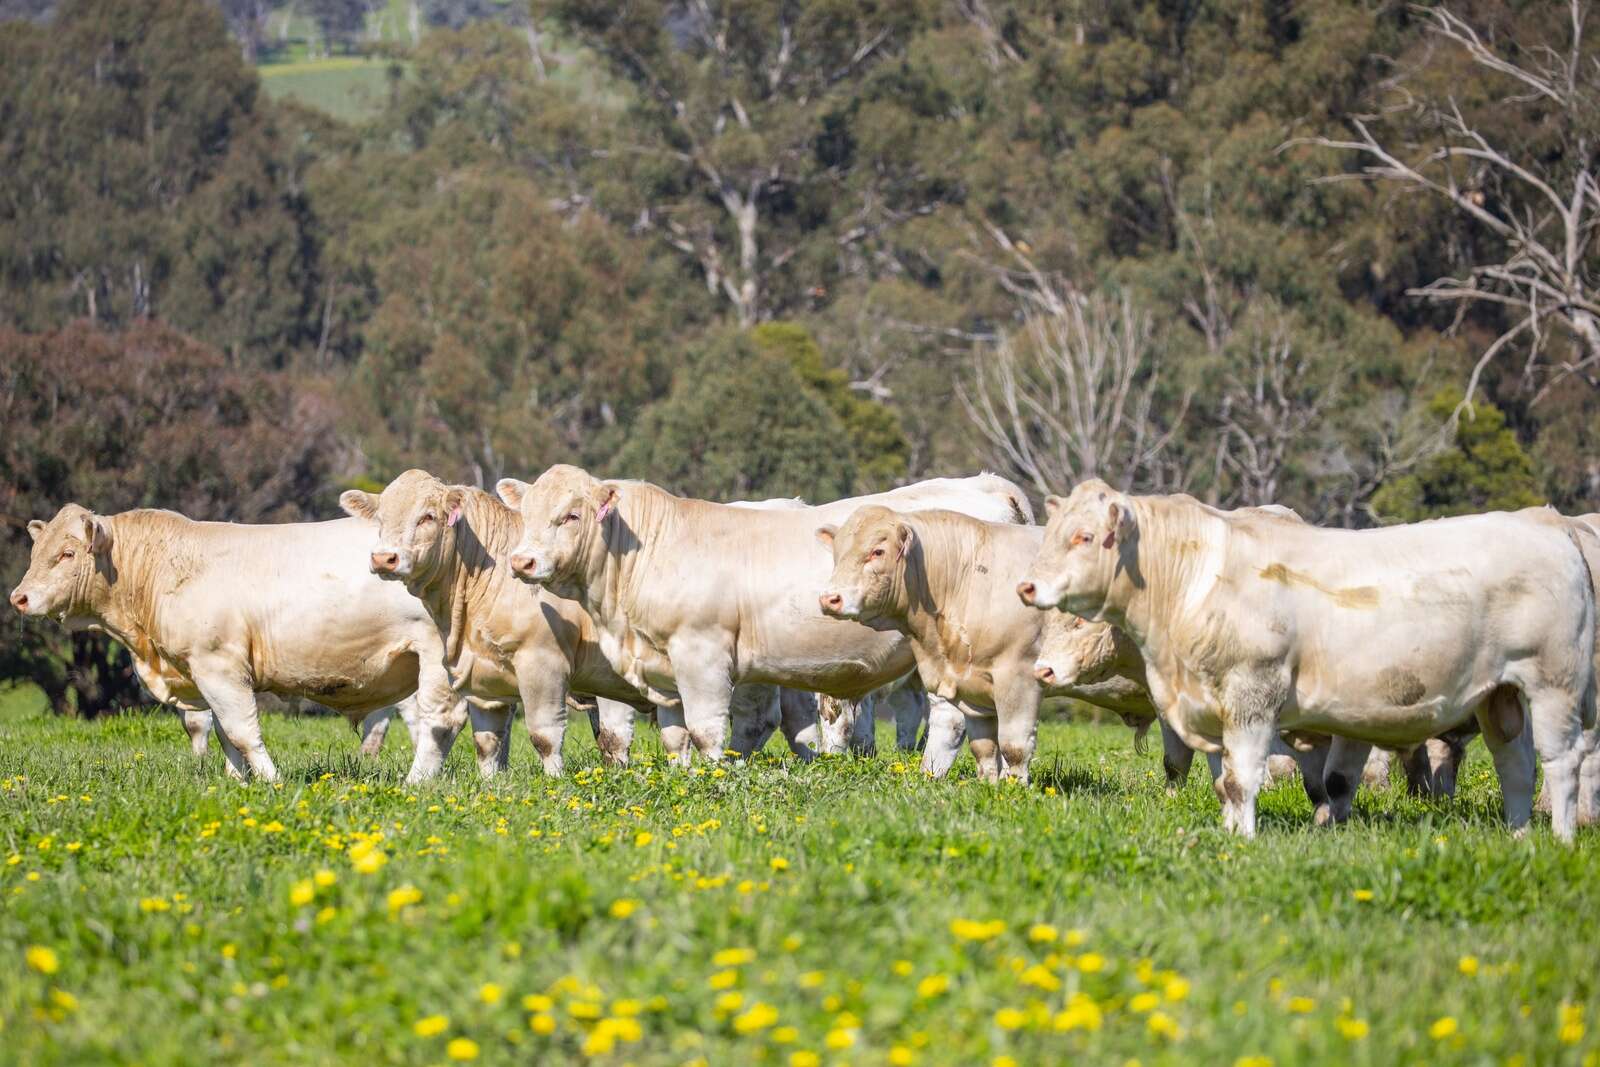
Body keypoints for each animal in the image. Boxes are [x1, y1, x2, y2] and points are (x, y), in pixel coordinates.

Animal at [8, 504, 466, 784]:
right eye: (37, 549)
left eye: (67, 554)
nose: (19, 597)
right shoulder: (206, 672)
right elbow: (224, 734)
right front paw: (236, 782)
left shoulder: (217, 665)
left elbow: (242, 730)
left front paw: (271, 780)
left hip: (435, 659)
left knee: (438, 720)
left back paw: (416, 782)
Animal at [494, 466, 1033, 769]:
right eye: (529, 514)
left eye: (571, 515)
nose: (522, 561)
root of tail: (989, 485)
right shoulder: (665, 662)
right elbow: (681, 732)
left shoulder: (702, 653)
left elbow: (697, 729)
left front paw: (714, 779)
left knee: (948, 719)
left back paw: (928, 774)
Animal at [1017, 480, 1597, 841]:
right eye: (1052, 533)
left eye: (1085, 536)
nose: (1027, 586)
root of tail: (1550, 526)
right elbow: (1225, 779)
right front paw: (1230, 830)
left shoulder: (1254, 694)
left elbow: (1245, 777)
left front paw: (1244, 840)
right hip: (1501, 695)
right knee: (1515, 765)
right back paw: (1519, 836)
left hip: (1556, 684)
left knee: (1562, 761)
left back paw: (1562, 836)